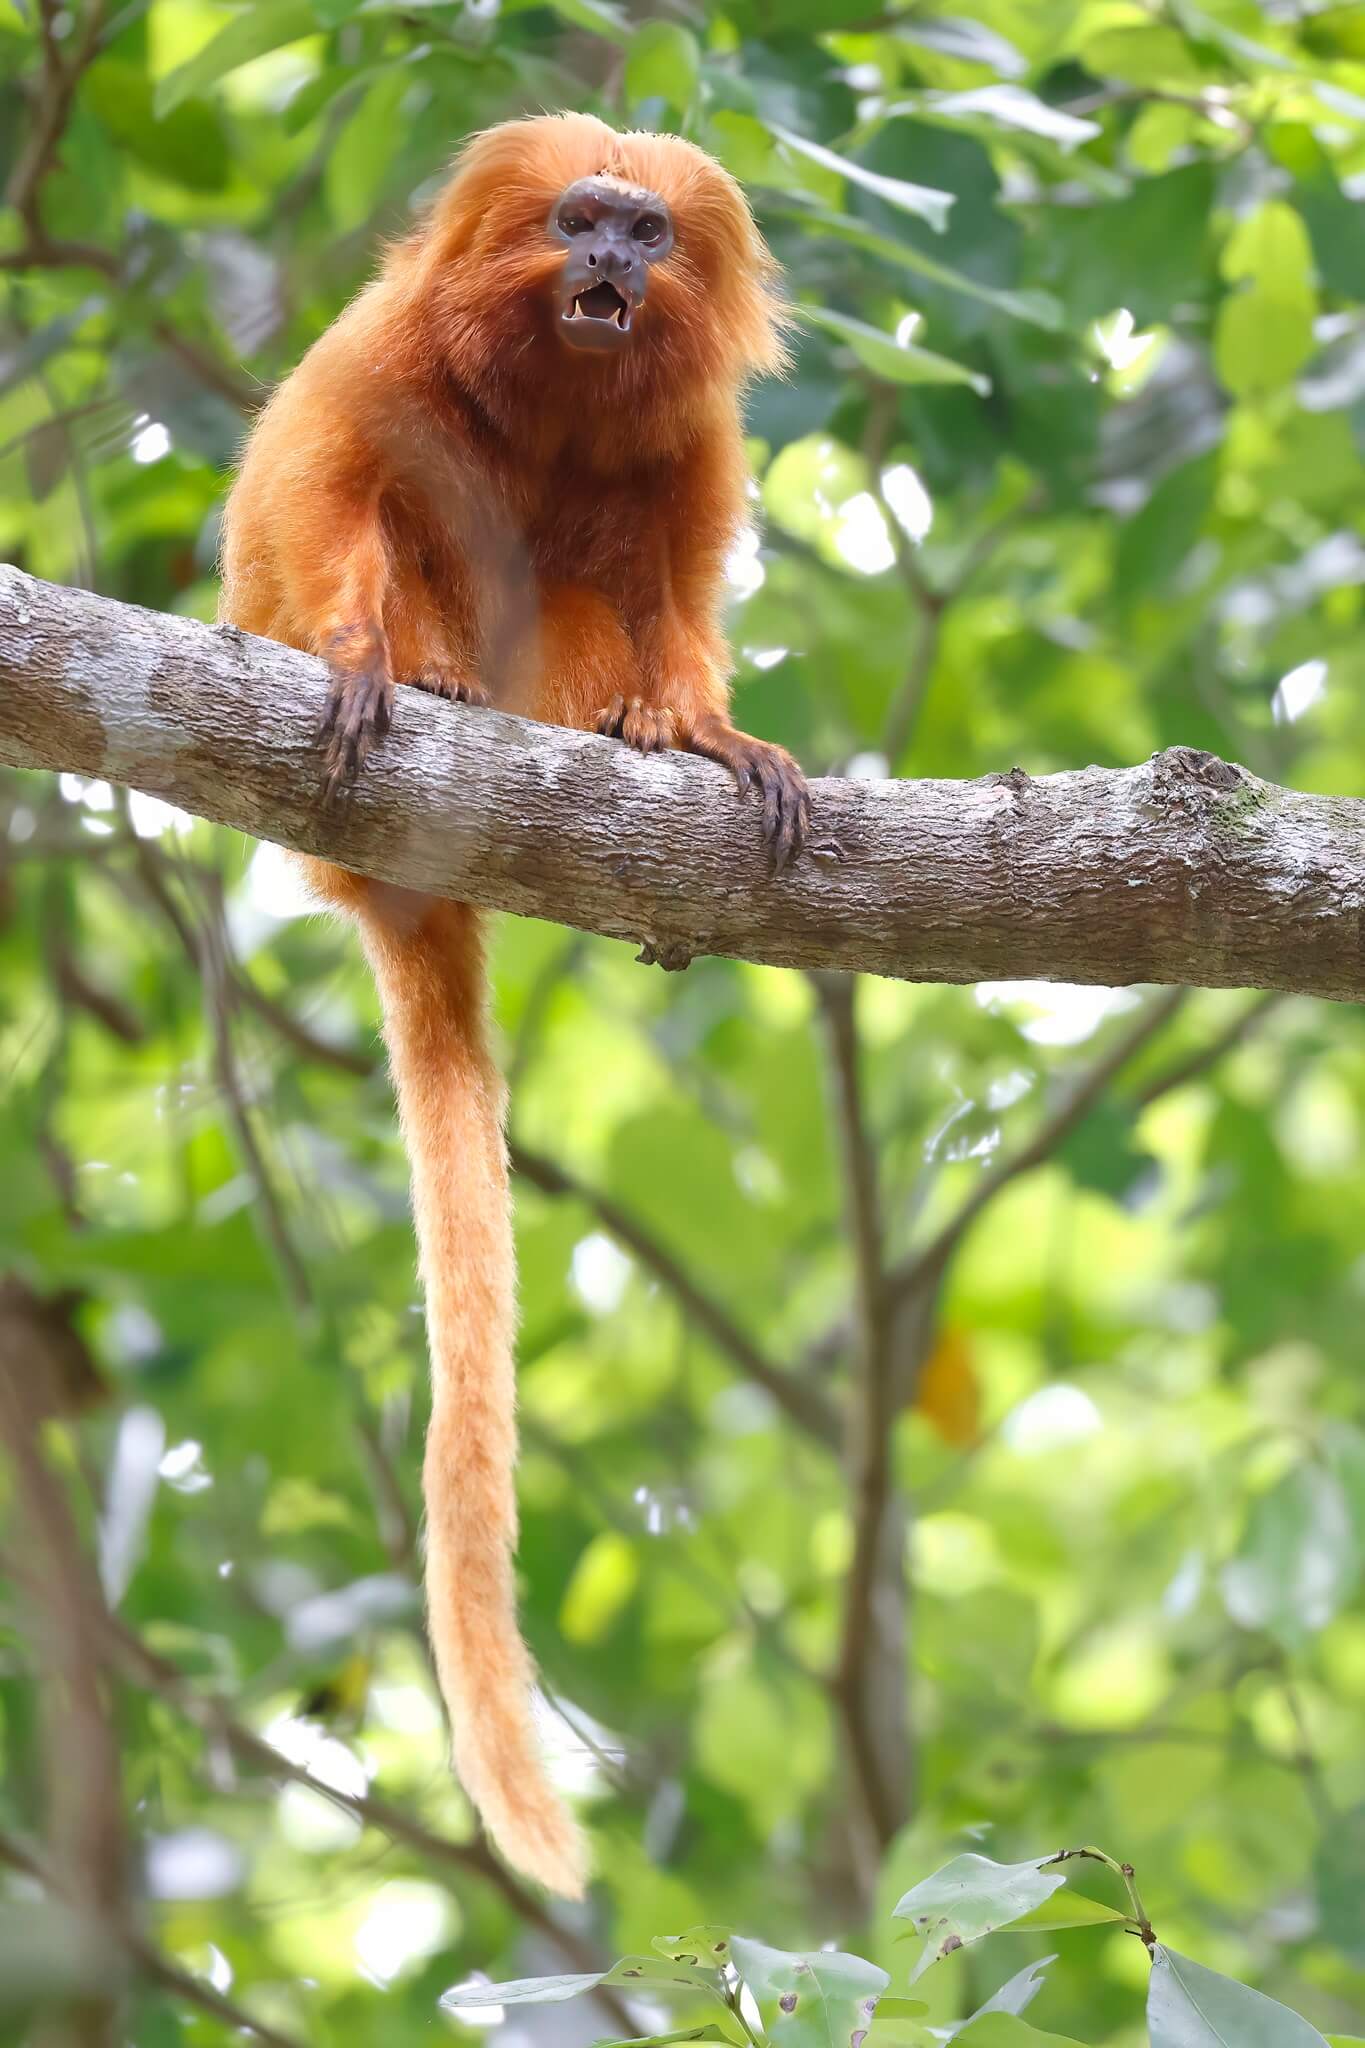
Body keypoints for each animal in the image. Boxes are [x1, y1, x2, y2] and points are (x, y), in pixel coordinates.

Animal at [218, 111, 809, 1898]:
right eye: (578, 220)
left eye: (648, 234)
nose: (609, 262)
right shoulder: (378, 363)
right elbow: (316, 491)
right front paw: (362, 654)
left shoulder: (688, 446)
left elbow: (671, 588)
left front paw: (696, 728)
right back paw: (428, 681)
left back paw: (628, 735)